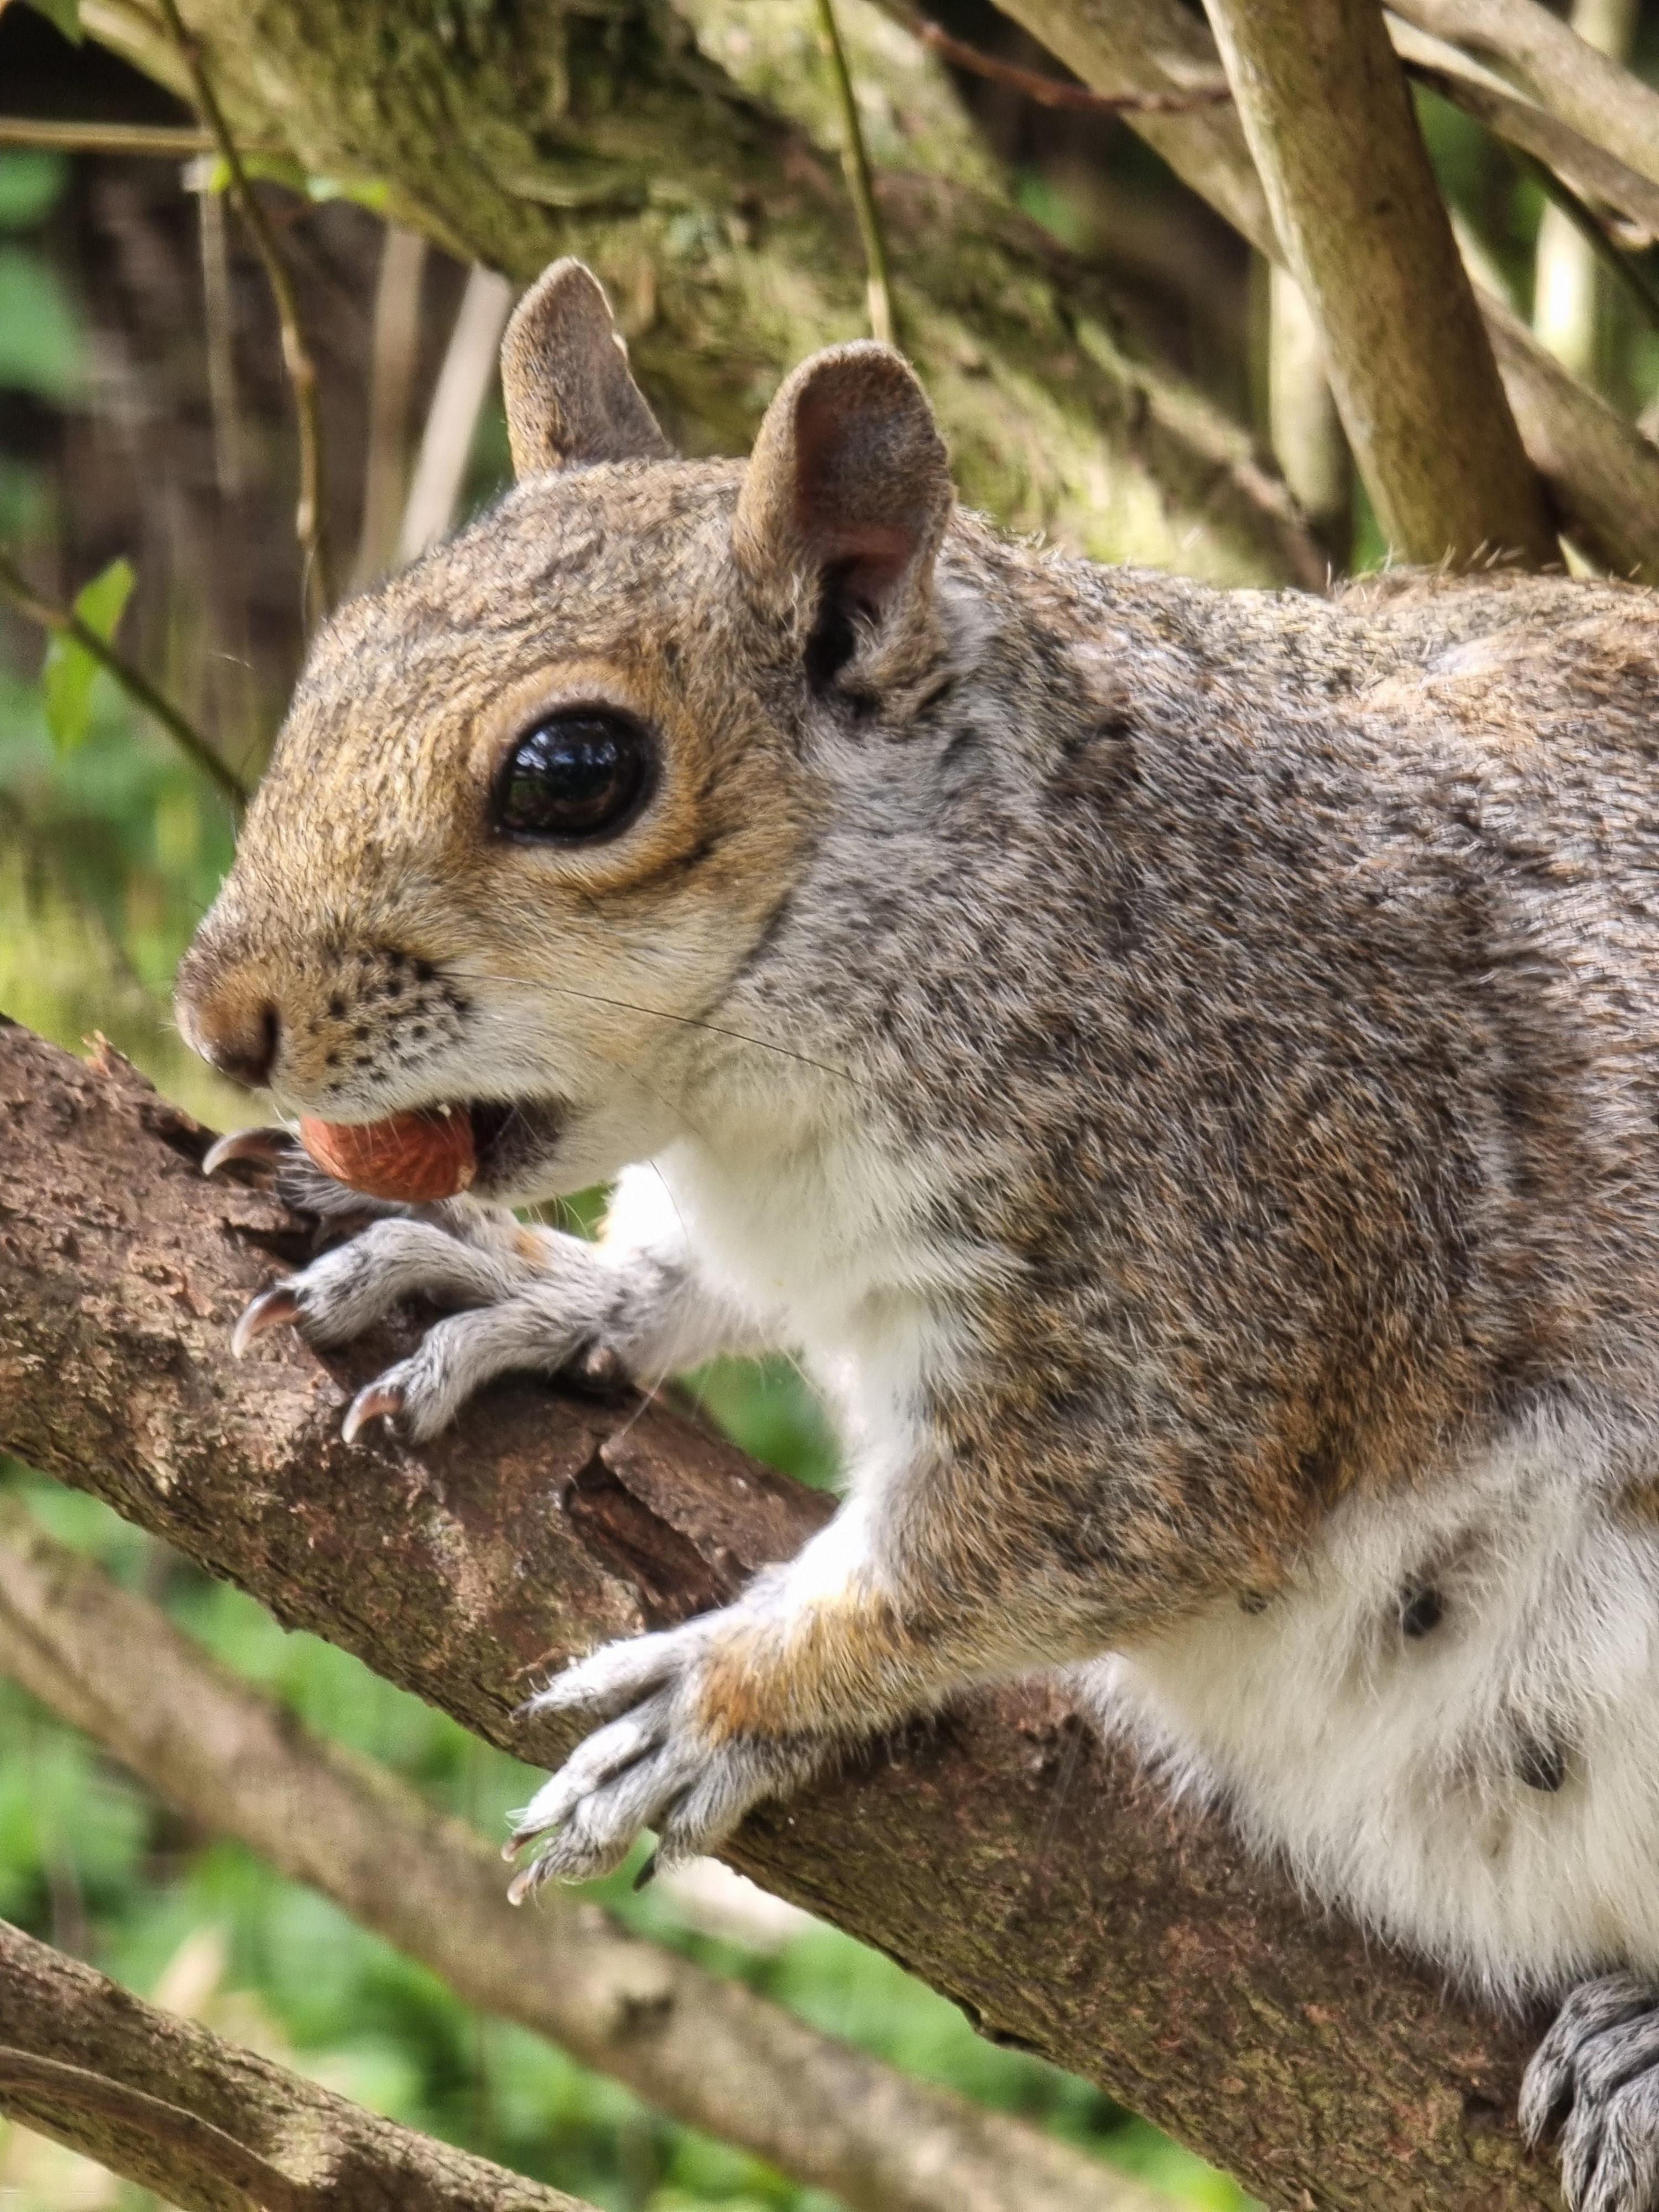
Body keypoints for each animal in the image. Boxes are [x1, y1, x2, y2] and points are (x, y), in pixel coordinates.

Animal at [176, 258, 1659, 2212]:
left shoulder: (1234, 1231)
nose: (218, 1018)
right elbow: (678, 1279)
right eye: (343, 641)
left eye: (574, 770)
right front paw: (509, 1275)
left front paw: (728, 1685)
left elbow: (1048, 1543)